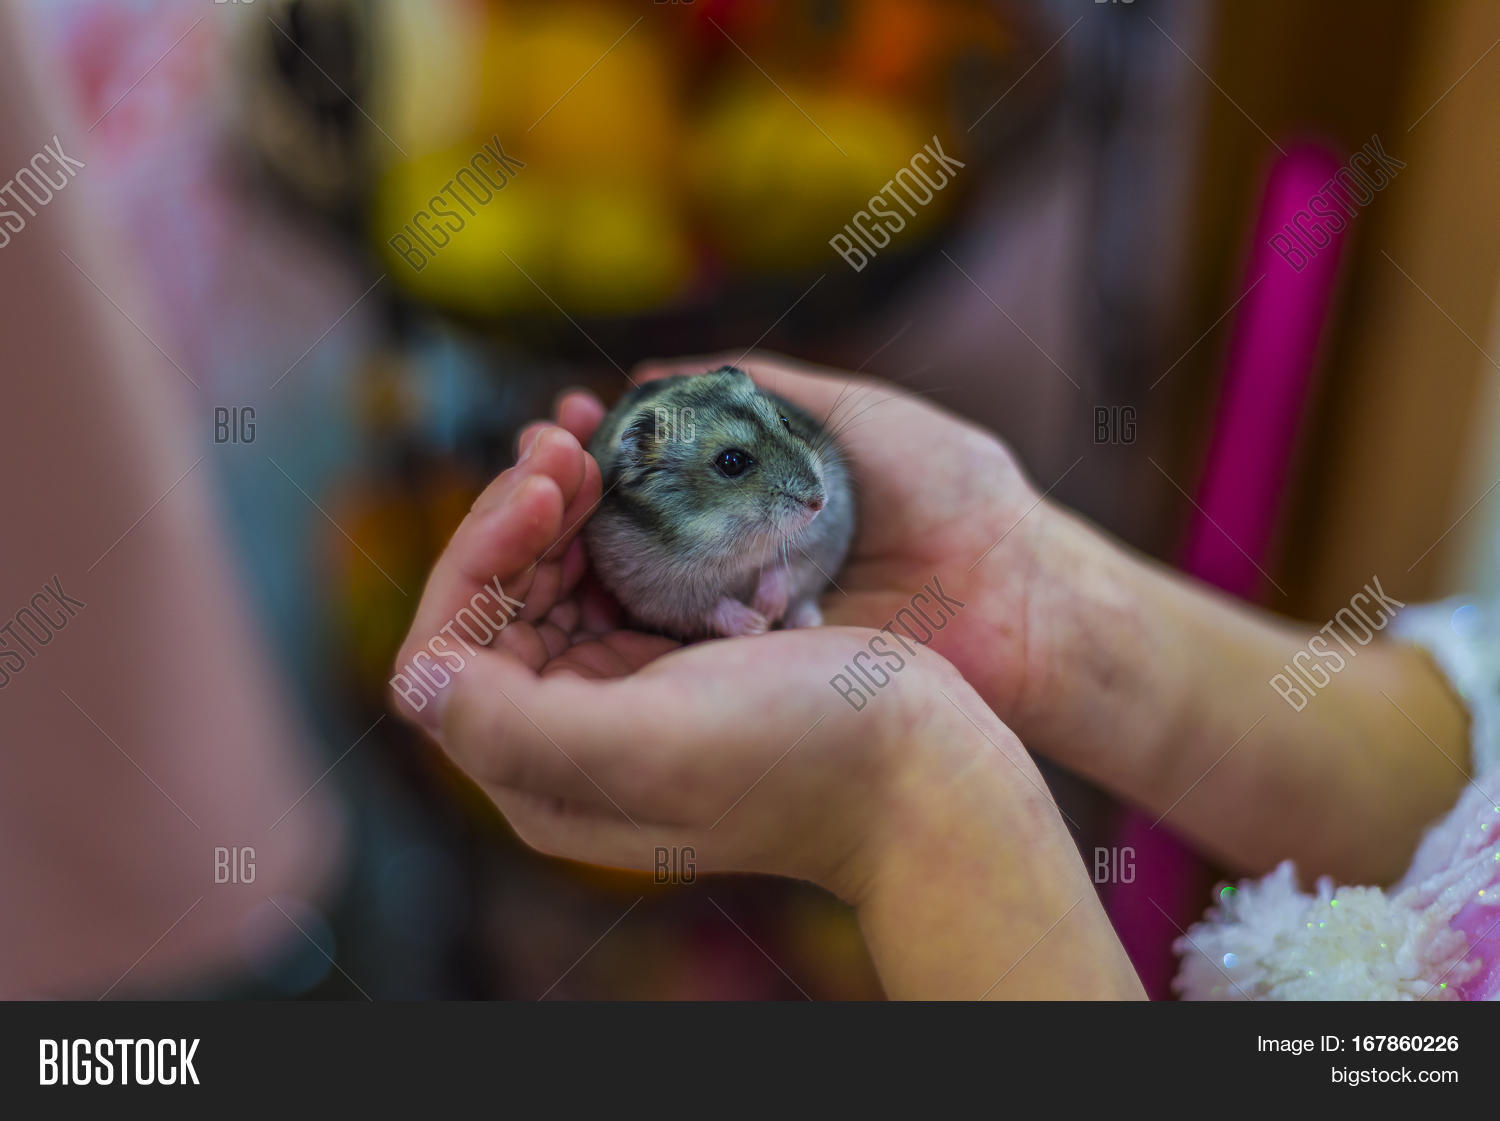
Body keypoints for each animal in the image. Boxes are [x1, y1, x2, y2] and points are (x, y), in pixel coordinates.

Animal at [584, 365, 854, 640]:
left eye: (785, 421)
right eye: (731, 462)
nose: (820, 503)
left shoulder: (823, 540)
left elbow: (786, 570)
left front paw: (766, 608)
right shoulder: (654, 594)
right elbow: (709, 608)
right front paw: (756, 624)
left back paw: (806, 621)